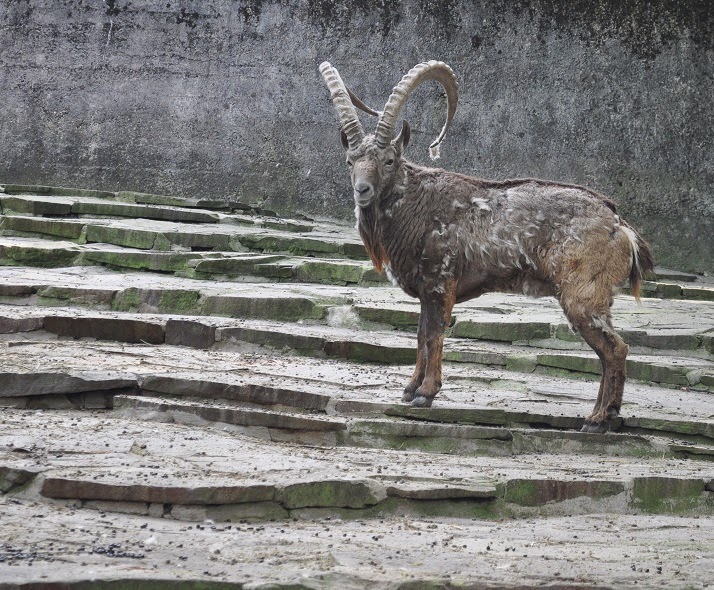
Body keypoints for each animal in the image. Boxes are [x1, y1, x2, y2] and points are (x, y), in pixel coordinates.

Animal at [319, 60, 654, 433]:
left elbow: (434, 334)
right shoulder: (425, 289)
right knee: (611, 350)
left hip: (583, 296)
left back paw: (599, 420)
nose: (362, 190)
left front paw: (425, 393)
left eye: (389, 160)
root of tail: (620, 226)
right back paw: (600, 416)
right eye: (350, 161)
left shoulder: (440, 281)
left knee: (616, 349)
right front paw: (409, 390)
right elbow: (420, 334)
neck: (415, 205)